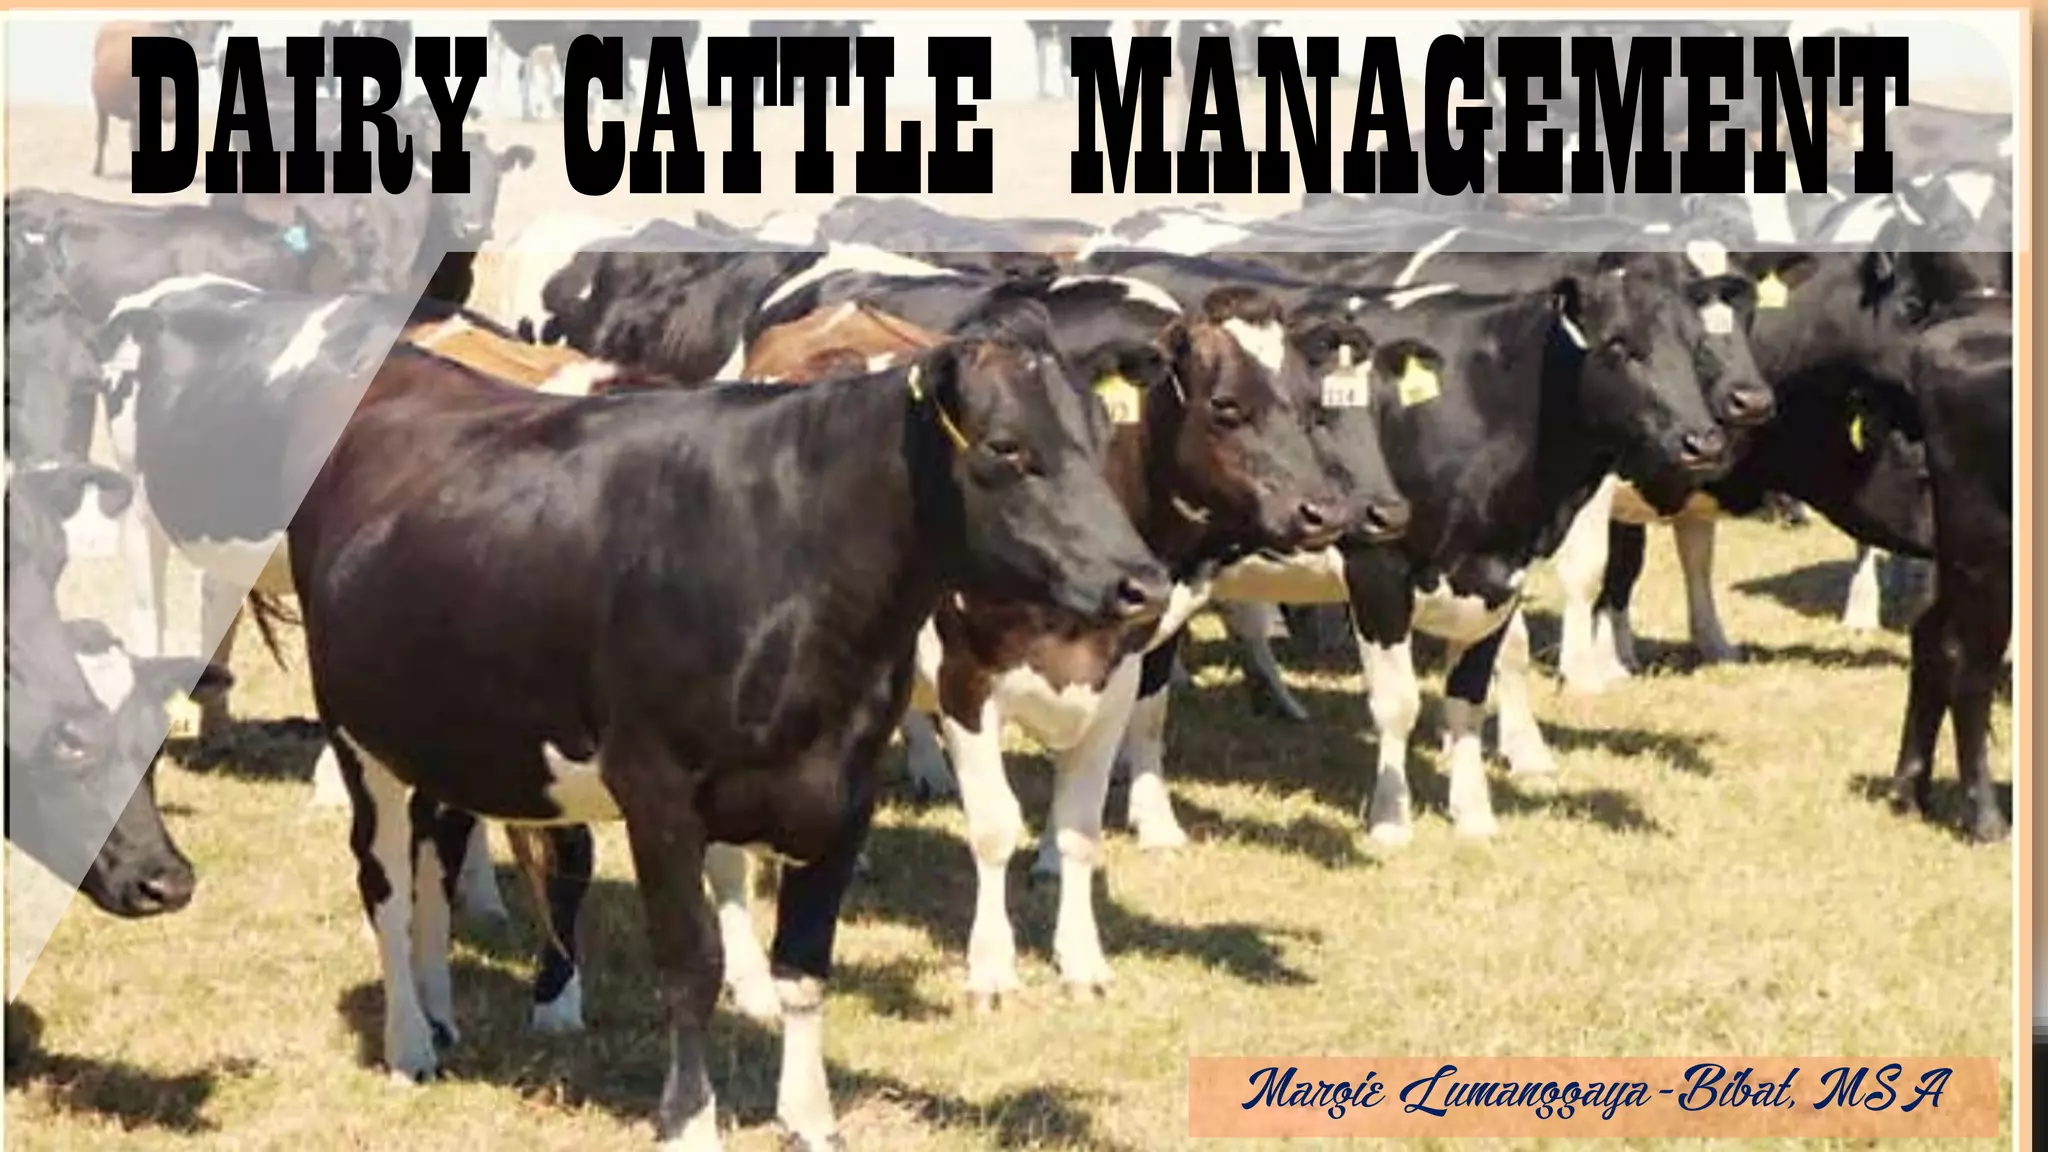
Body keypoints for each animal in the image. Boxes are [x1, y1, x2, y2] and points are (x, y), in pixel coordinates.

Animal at [90, 20, 231, 178]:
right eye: (189, 28)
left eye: (215, 29)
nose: (206, 60)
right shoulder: (138, 112)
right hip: (101, 105)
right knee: (103, 135)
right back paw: (97, 169)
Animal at [287, 295, 1170, 1151]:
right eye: (1006, 446)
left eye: (1102, 434)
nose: (1144, 583)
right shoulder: (659, 792)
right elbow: (692, 967)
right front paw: (690, 1123)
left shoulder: (846, 790)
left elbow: (805, 967)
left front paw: (810, 1118)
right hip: (354, 732)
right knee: (383, 879)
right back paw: (408, 1044)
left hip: (446, 733)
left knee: (436, 855)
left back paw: (439, 1015)